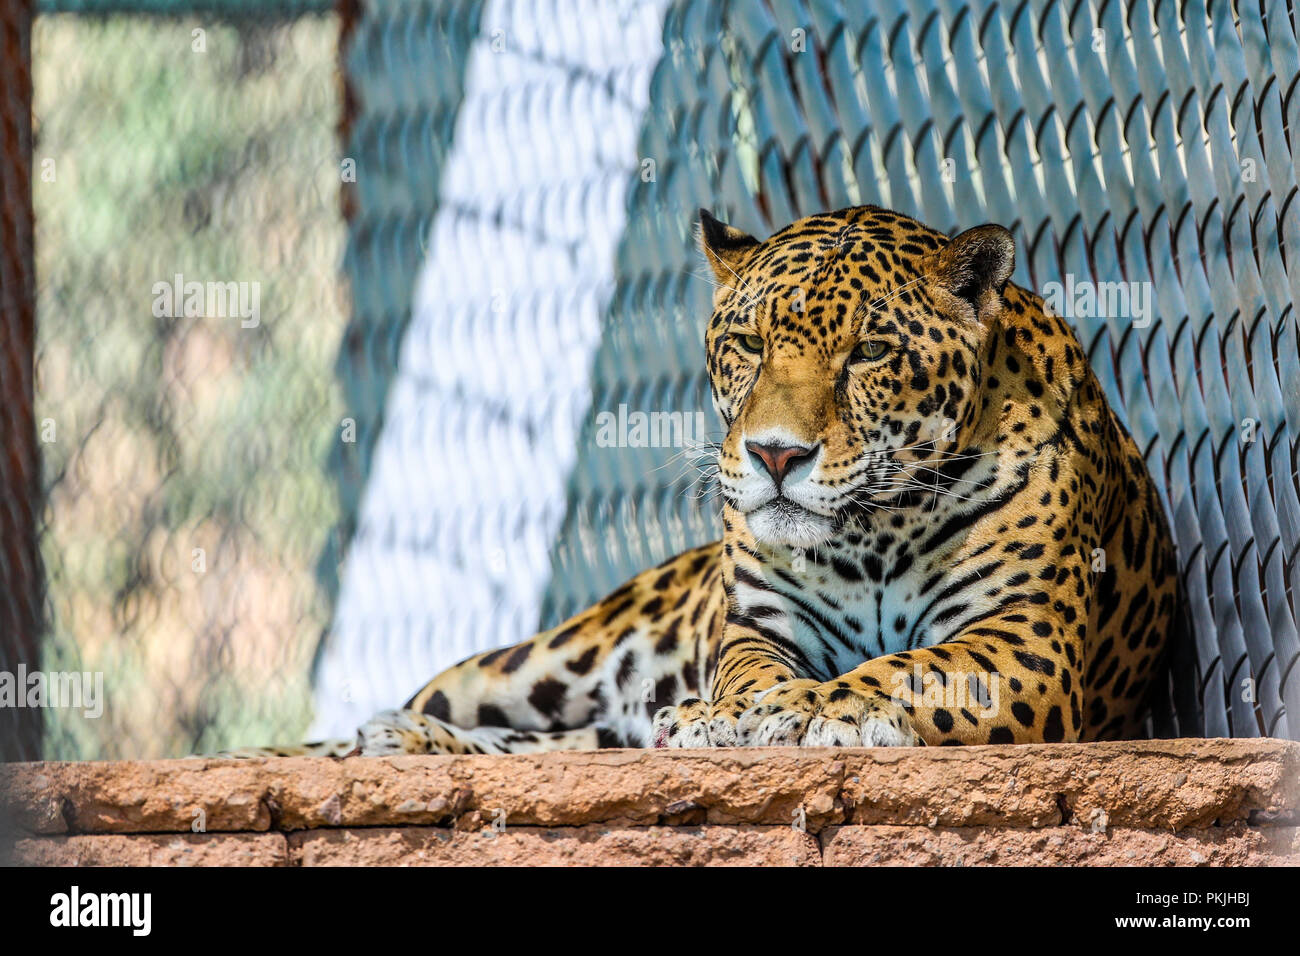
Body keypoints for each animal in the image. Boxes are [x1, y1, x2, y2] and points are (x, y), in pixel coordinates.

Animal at [231, 204, 1178, 758]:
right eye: (749, 344)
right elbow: (754, 676)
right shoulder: (758, 628)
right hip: (538, 663)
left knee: (568, 748)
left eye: (870, 352)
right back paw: (384, 738)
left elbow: (907, 666)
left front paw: (825, 711)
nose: (775, 456)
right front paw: (733, 713)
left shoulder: (1024, 637)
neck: (874, 533)